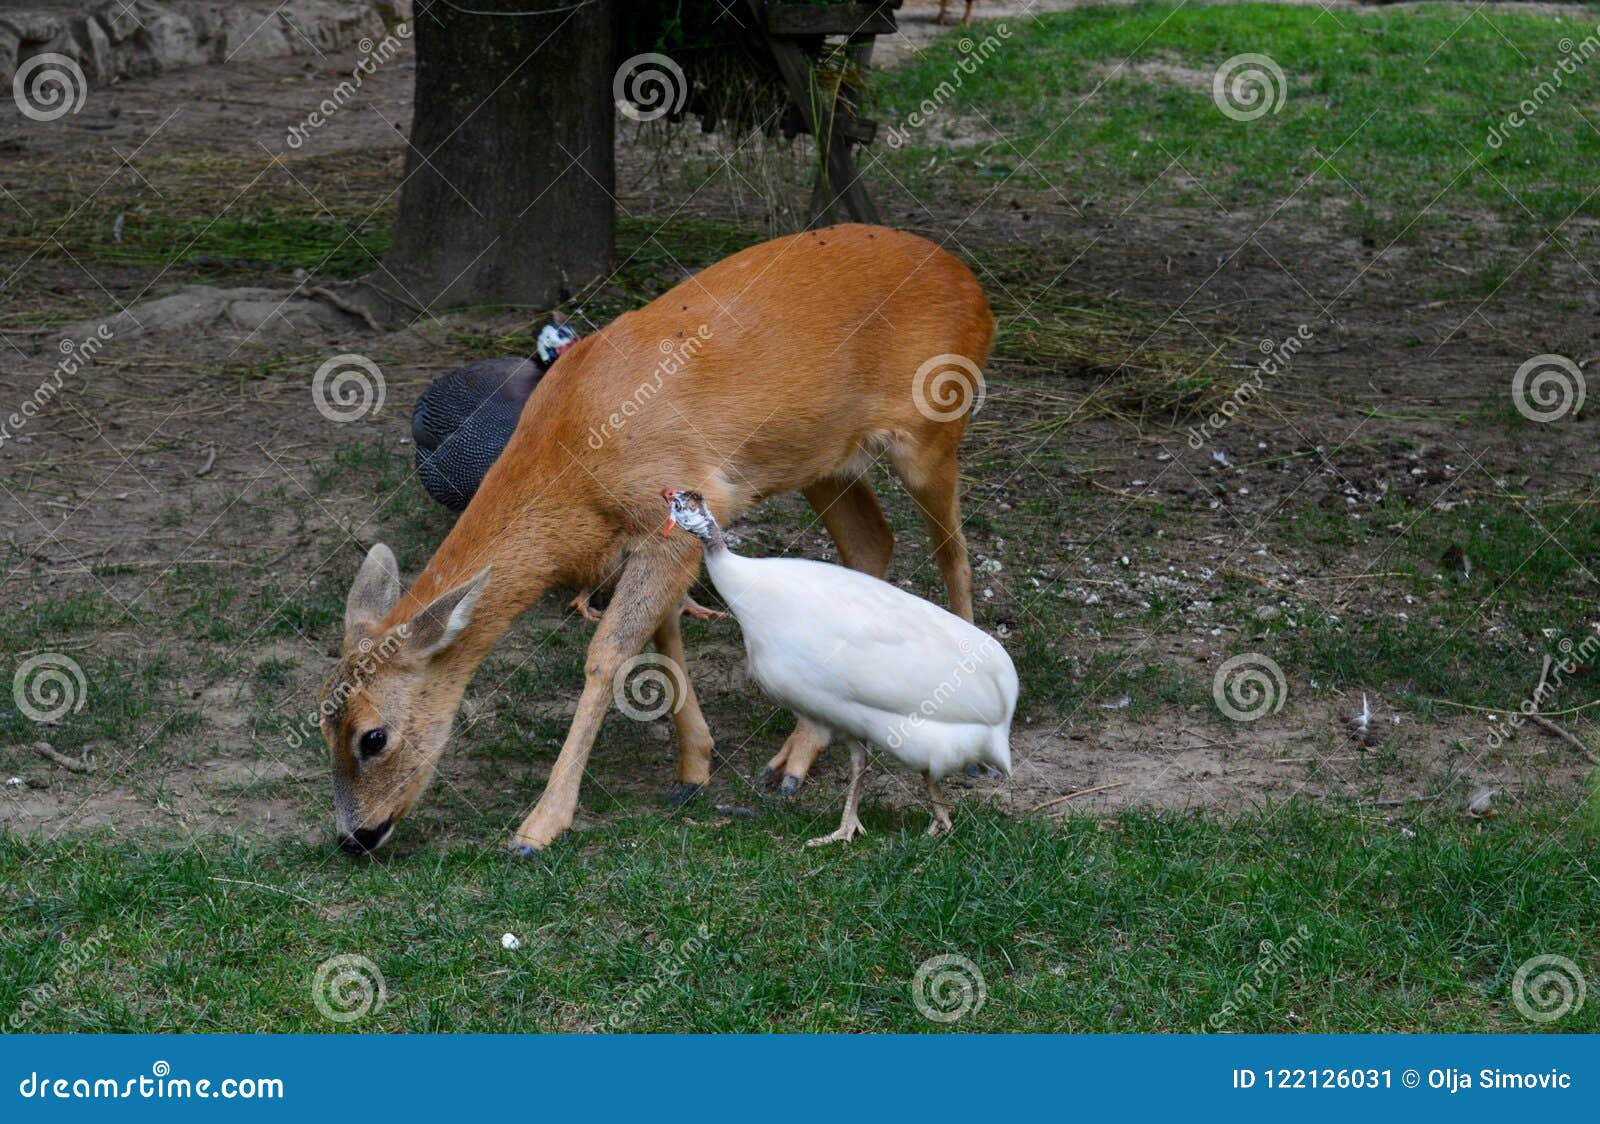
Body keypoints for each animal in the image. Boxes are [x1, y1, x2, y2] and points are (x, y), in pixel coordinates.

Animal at [321, 223, 994, 857]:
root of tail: (974, 288)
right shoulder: (651, 539)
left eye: (372, 736)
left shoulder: (677, 509)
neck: (571, 465)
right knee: (872, 543)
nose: (356, 838)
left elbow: (607, 656)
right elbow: (663, 633)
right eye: (322, 721)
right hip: (822, 460)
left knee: (953, 553)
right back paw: (793, 759)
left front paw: (540, 826)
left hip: (932, 428)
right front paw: (693, 767)